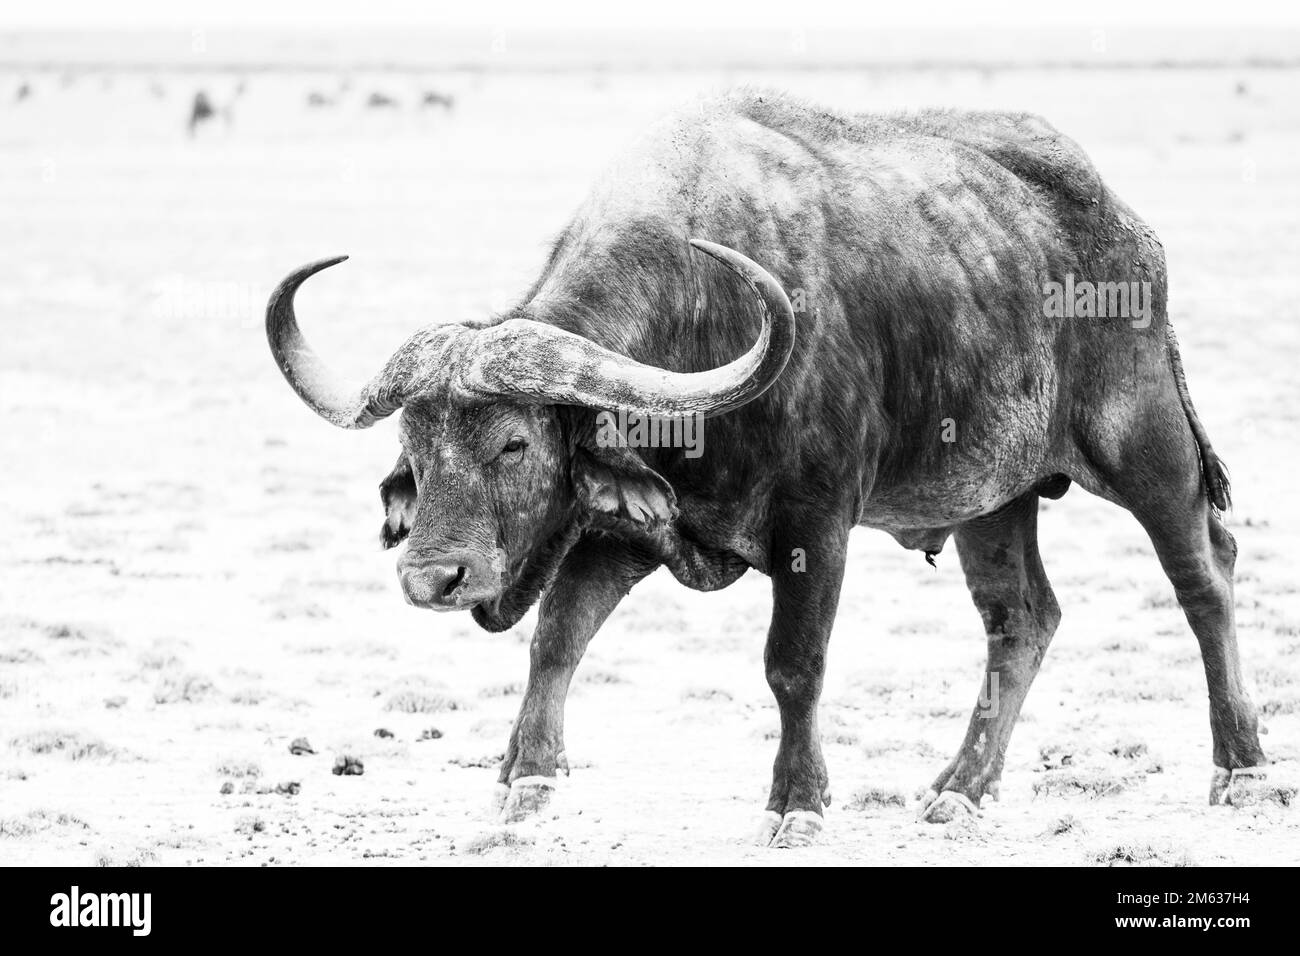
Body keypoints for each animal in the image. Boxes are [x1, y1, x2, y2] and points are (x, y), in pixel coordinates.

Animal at [266, 90, 1266, 846]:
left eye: (513, 443)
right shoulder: (633, 528)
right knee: (1022, 619)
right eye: (415, 450)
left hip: (1143, 445)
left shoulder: (815, 529)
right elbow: (559, 636)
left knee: (1204, 575)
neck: (703, 315)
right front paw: (529, 777)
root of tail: (1129, 232)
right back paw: (959, 789)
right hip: (997, 496)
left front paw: (798, 803)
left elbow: (794, 664)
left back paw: (1242, 766)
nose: (433, 578)